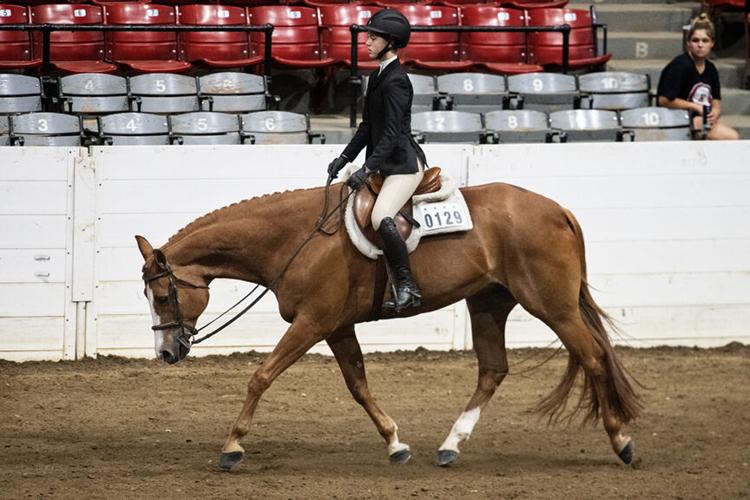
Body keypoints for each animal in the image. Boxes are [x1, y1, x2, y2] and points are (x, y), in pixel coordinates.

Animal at [135, 180, 642, 471]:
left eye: (161, 297)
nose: (166, 353)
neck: (296, 239)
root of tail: (558, 210)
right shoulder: (336, 327)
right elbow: (359, 386)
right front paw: (396, 444)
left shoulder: (313, 322)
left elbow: (261, 376)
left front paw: (232, 447)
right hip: (489, 302)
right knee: (493, 370)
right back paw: (450, 446)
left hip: (553, 306)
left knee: (593, 358)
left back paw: (622, 442)